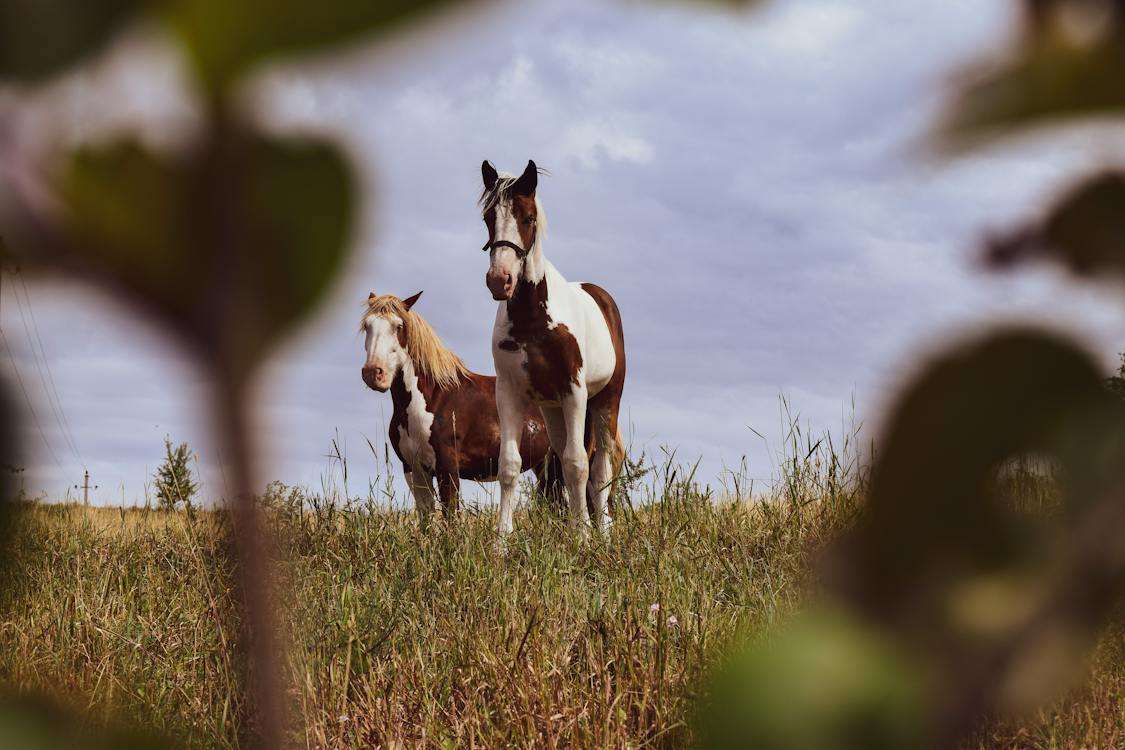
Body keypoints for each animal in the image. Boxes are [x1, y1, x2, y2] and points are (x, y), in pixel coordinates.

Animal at [359, 291, 564, 520]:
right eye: (367, 325)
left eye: (399, 326)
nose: (373, 373)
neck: (433, 399)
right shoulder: (414, 469)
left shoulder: (447, 467)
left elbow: (451, 516)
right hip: (545, 466)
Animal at [479, 160, 627, 539]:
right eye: (488, 216)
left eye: (528, 217)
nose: (499, 281)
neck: (534, 320)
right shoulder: (510, 393)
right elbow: (510, 466)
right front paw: (501, 541)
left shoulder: (574, 391)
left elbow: (578, 465)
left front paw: (584, 538)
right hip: (553, 409)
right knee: (564, 458)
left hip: (604, 401)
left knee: (599, 467)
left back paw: (603, 533)